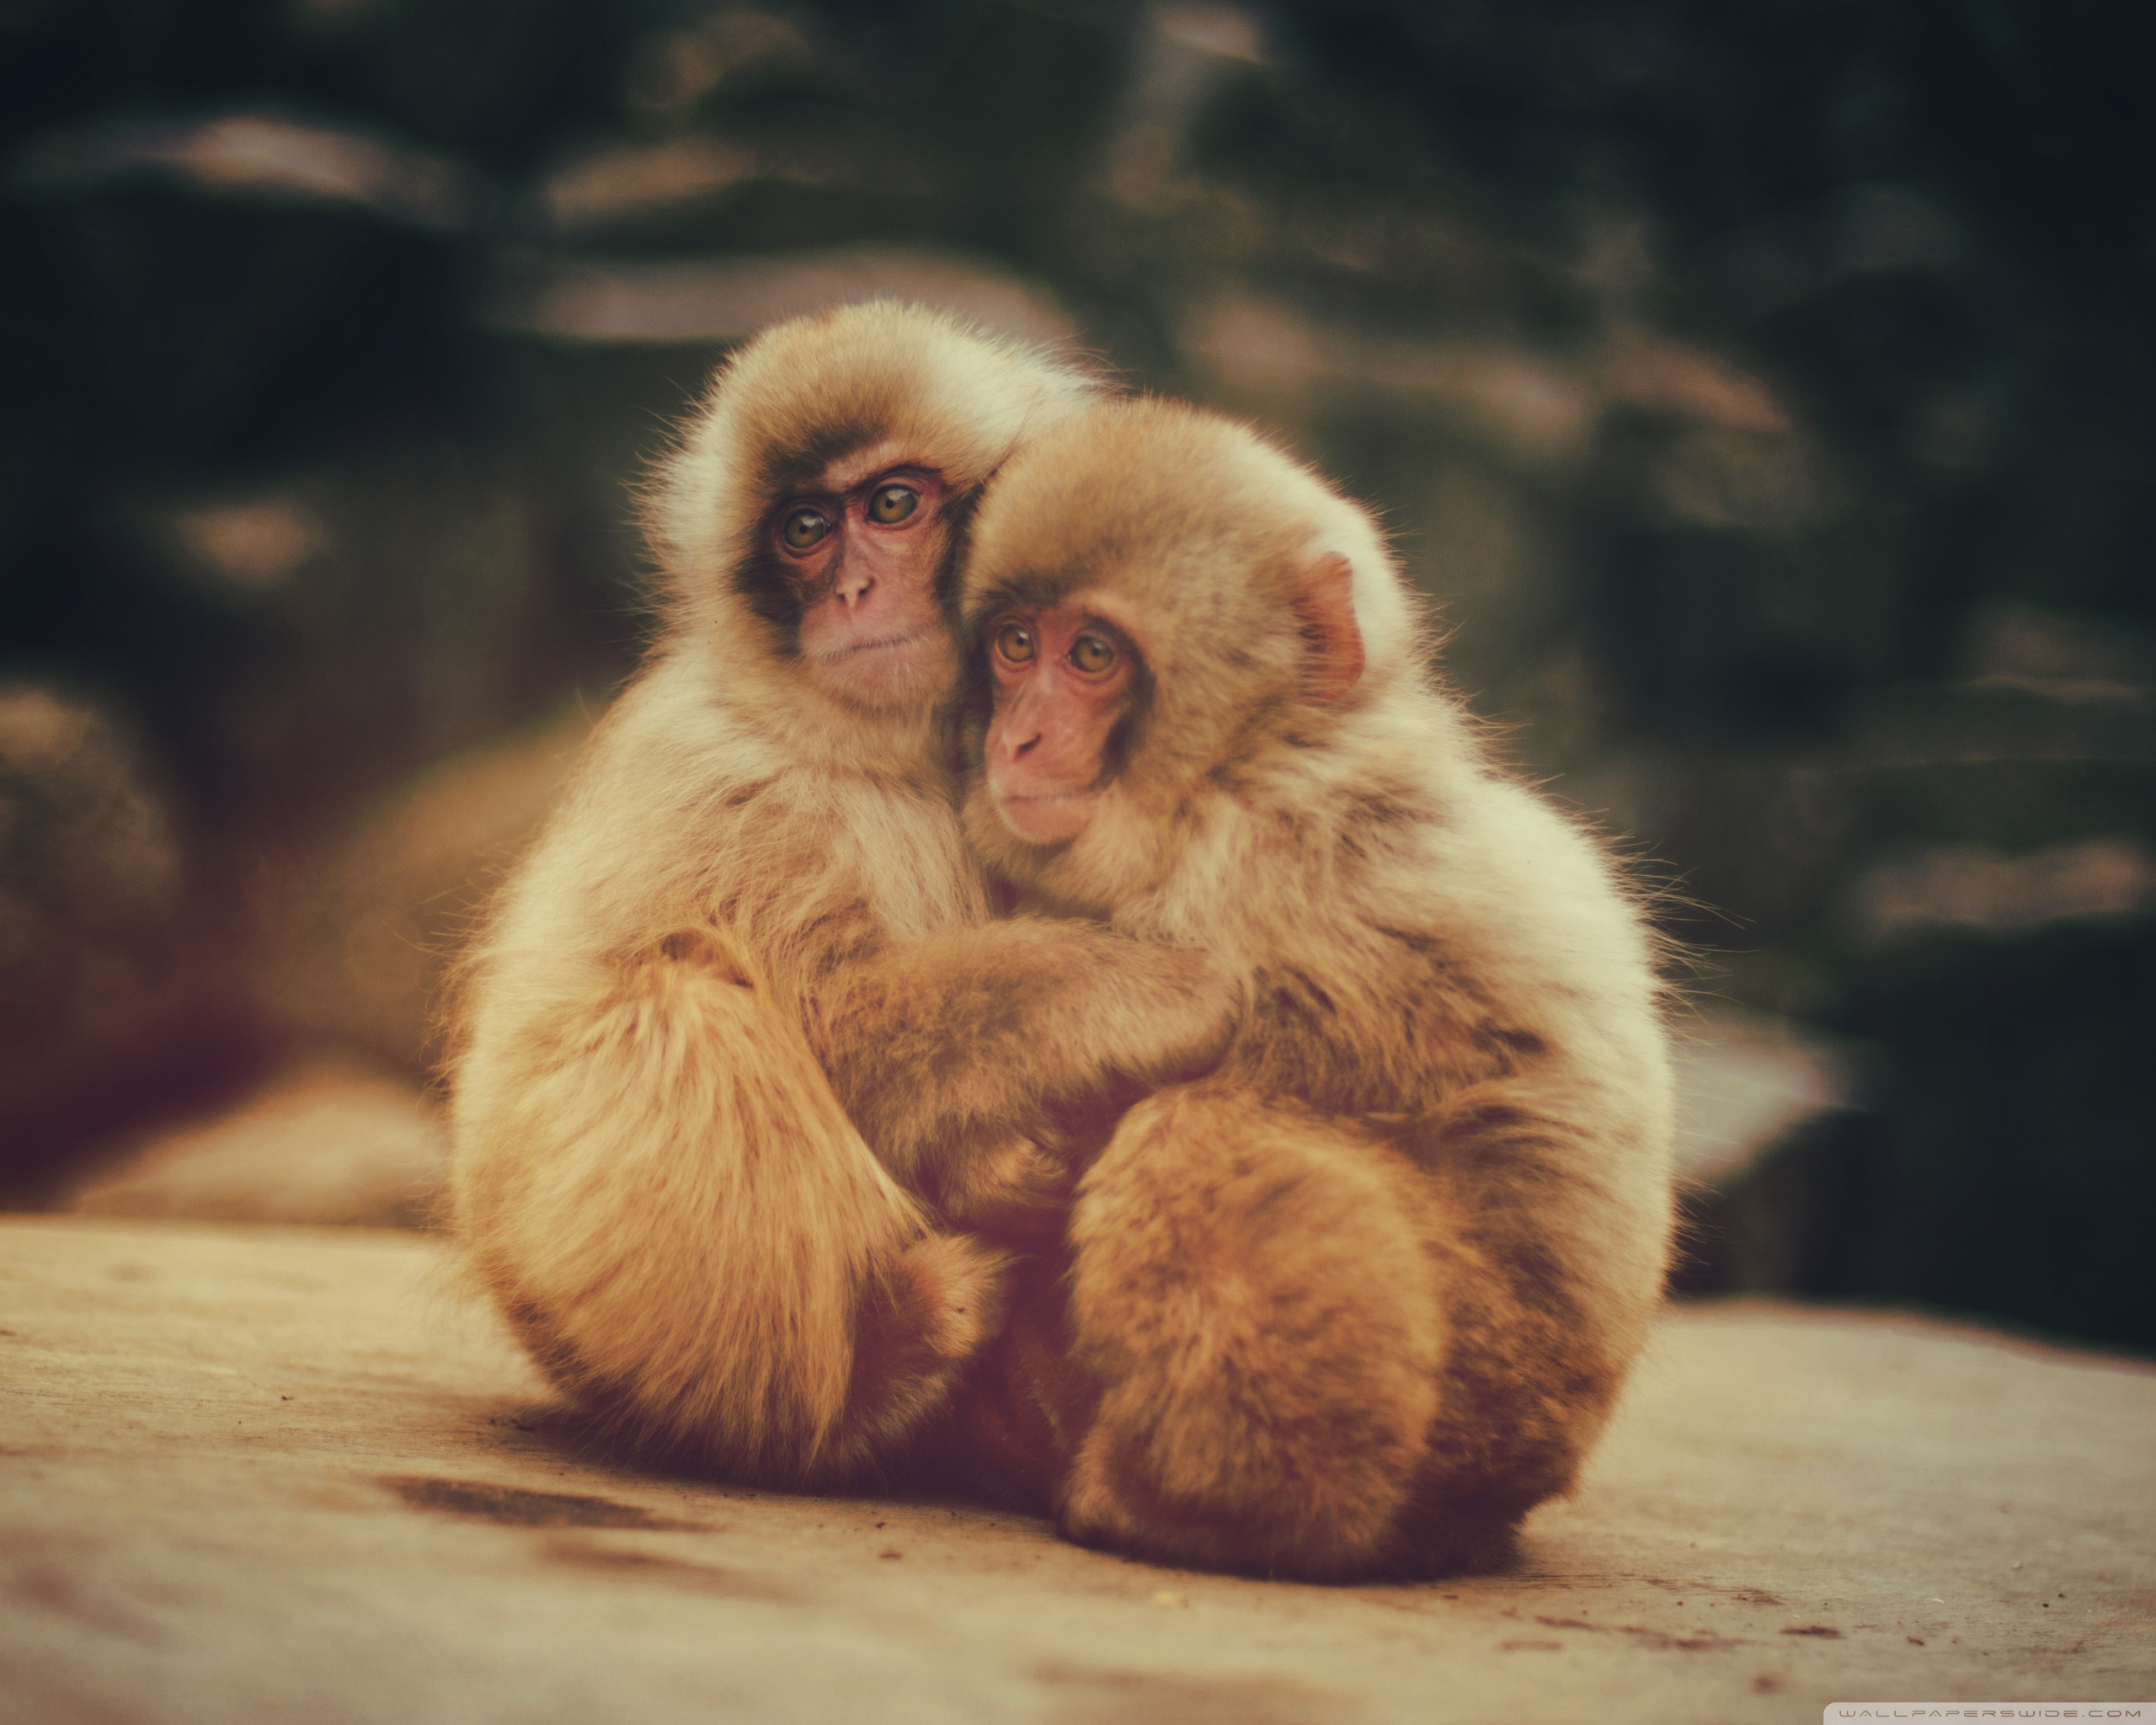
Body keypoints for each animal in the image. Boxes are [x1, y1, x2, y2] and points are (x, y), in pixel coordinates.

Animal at [448, 304, 1237, 1491]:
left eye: (892, 505)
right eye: (806, 530)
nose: (855, 591)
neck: (890, 748)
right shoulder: (734, 787)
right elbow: (829, 1019)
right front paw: (1147, 987)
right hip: (573, 1306)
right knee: (680, 1008)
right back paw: (847, 1390)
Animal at [949, 396, 1677, 1580]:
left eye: (1091, 654)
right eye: (1017, 645)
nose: (1017, 737)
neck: (1246, 766)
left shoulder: (1261, 867)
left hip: (1486, 1396)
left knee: (1198, 1136)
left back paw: (1209, 1506)